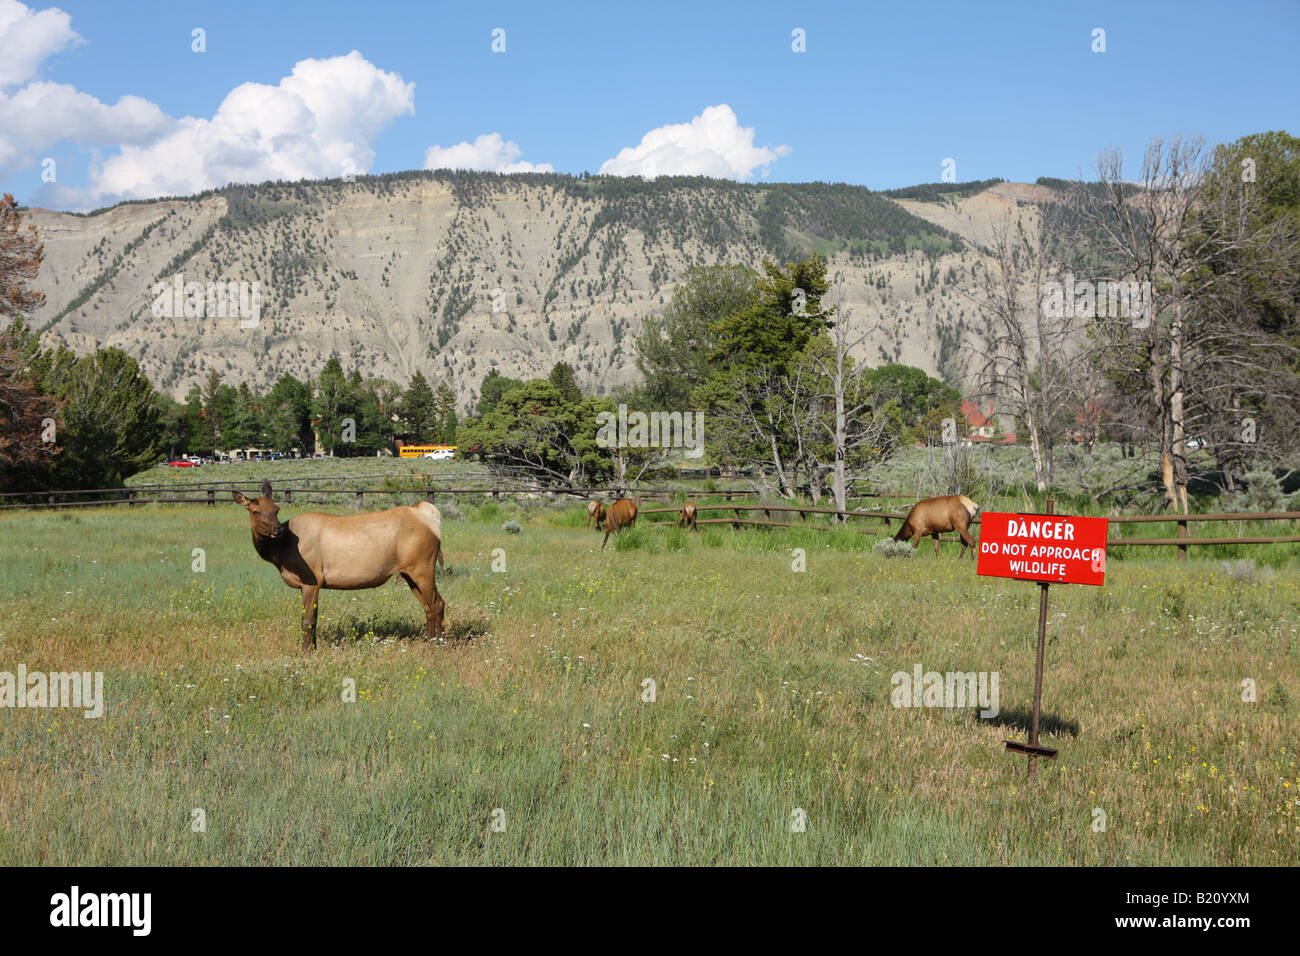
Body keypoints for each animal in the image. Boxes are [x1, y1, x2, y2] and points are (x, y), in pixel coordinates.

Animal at [233, 480, 446, 649]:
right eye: (255, 511)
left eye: (276, 509)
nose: (277, 530)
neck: (281, 553)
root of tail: (431, 518)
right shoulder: (311, 584)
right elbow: (314, 620)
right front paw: (314, 648)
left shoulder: (311, 579)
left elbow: (307, 621)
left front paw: (305, 652)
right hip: (409, 572)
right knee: (429, 606)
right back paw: (433, 642)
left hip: (423, 566)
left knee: (437, 603)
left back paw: (438, 645)